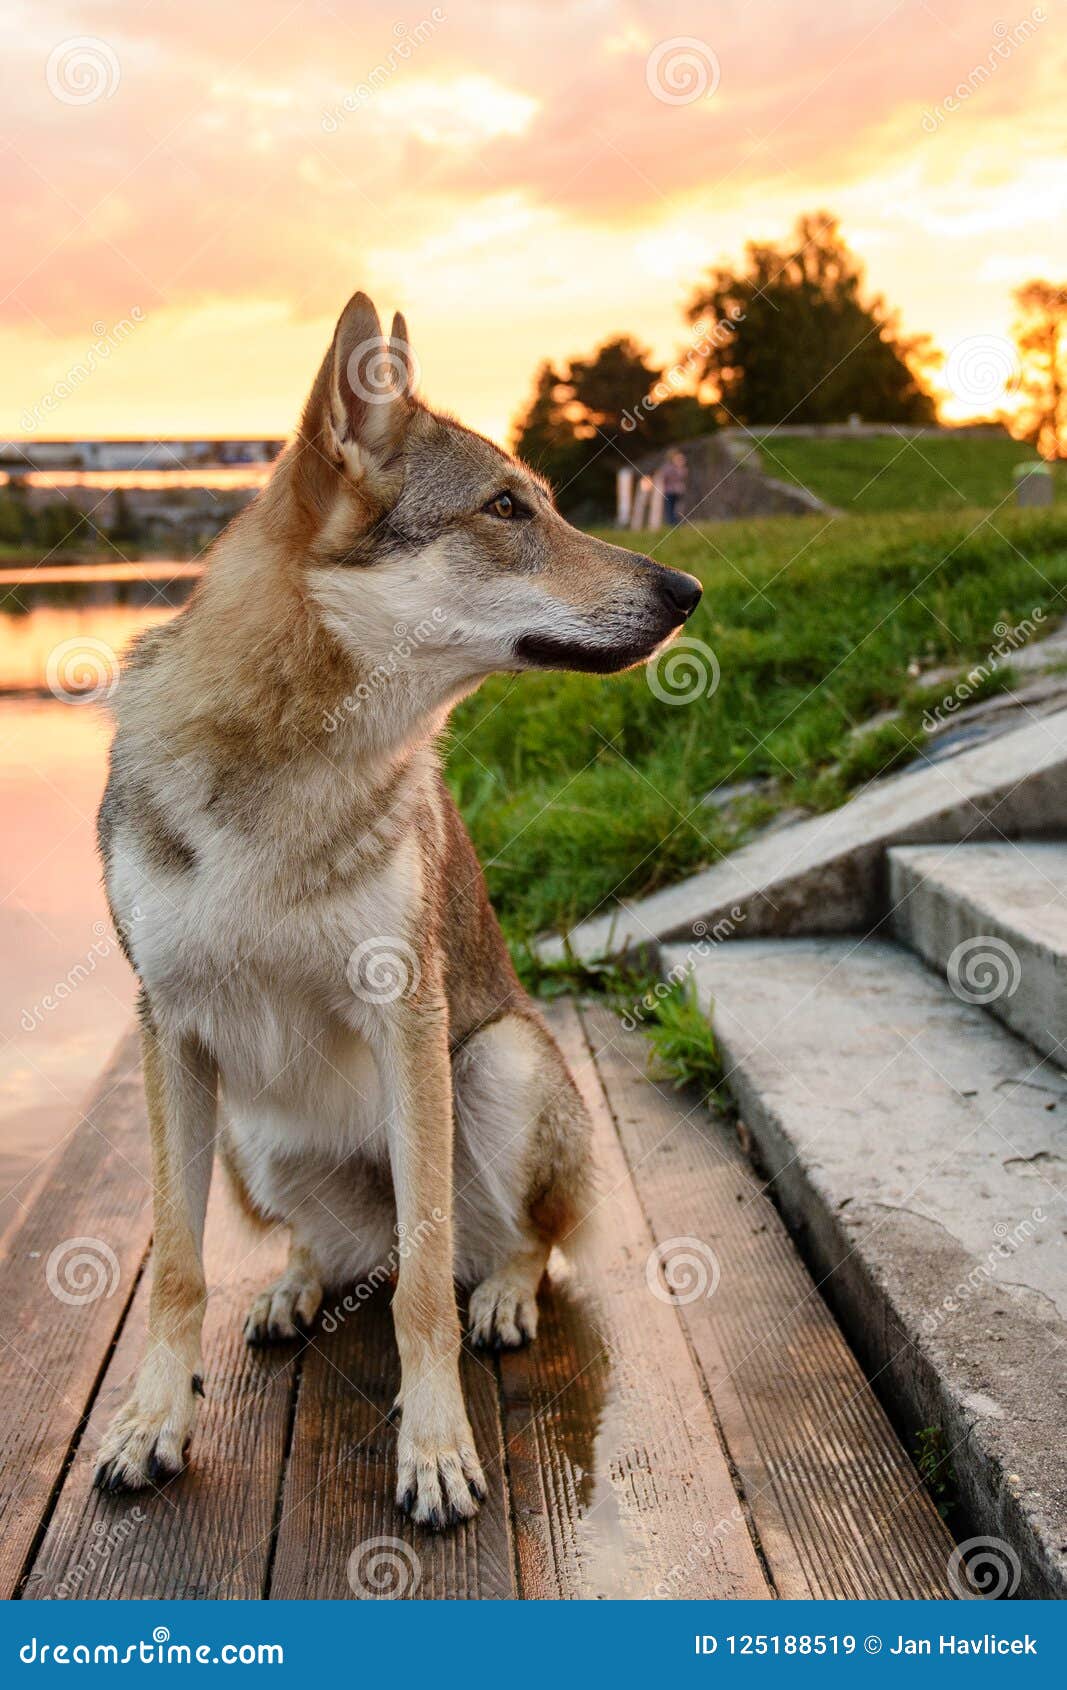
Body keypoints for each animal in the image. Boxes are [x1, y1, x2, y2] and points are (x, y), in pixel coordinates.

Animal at [93, 291, 702, 1528]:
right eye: (506, 507)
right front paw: (150, 1424)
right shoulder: (167, 1030)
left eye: (548, 502)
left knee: (501, 1246)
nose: (687, 592)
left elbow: (423, 1290)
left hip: (495, 1063)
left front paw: (432, 1450)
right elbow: (175, 1265)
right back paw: (292, 1289)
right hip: (249, 1132)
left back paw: (503, 1299)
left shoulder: (408, 1018)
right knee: (331, 1254)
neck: (290, 761)